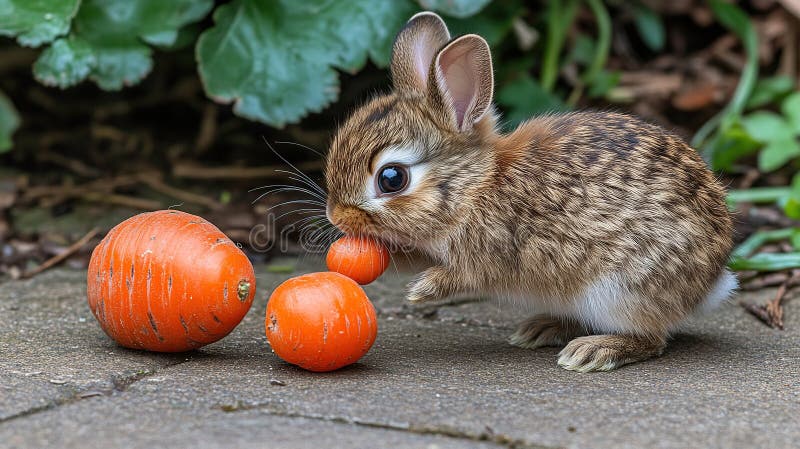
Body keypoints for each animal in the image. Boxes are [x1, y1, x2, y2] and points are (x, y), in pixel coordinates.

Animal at [323, 11, 736, 372]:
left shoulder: (492, 251)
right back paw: (543, 329)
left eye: (392, 178)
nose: (336, 217)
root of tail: (712, 282)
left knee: (652, 338)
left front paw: (421, 290)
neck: (477, 185)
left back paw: (593, 351)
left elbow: (466, 275)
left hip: (622, 290)